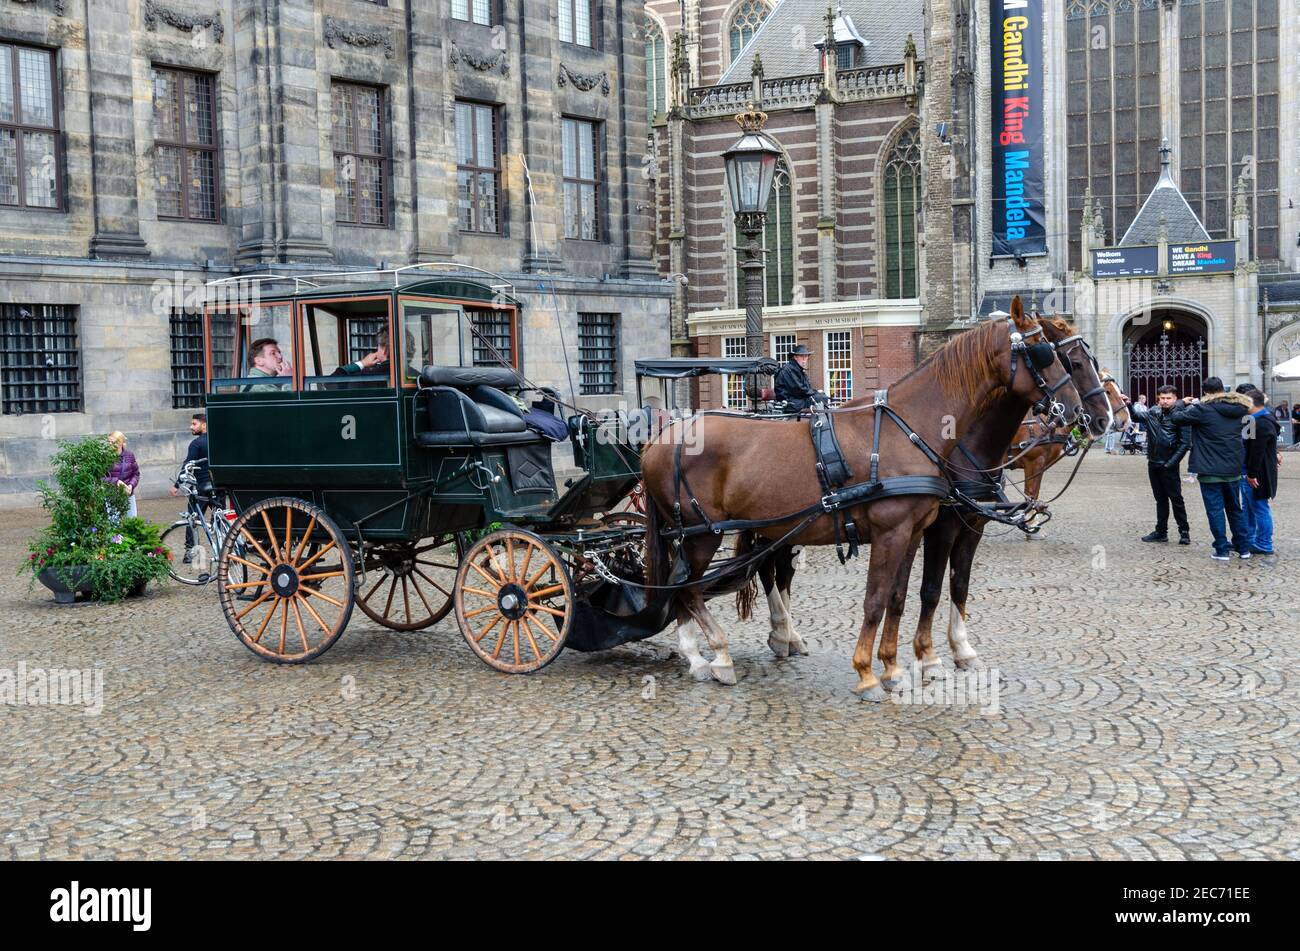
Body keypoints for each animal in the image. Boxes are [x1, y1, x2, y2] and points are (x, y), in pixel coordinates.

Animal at [641, 297, 1096, 700]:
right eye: (1049, 355)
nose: (1082, 414)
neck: (913, 428)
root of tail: (662, 438)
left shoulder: (917, 531)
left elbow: (901, 597)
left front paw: (895, 668)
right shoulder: (897, 530)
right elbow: (879, 600)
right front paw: (868, 673)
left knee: (704, 584)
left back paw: (707, 653)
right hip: (702, 533)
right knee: (688, 588)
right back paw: (716, 656)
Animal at [912, 322, 1126, 678]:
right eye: (1075, 363)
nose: (1112, 420)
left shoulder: (974, 520)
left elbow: (960, 584)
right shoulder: (949, 520)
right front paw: (1032, 523)